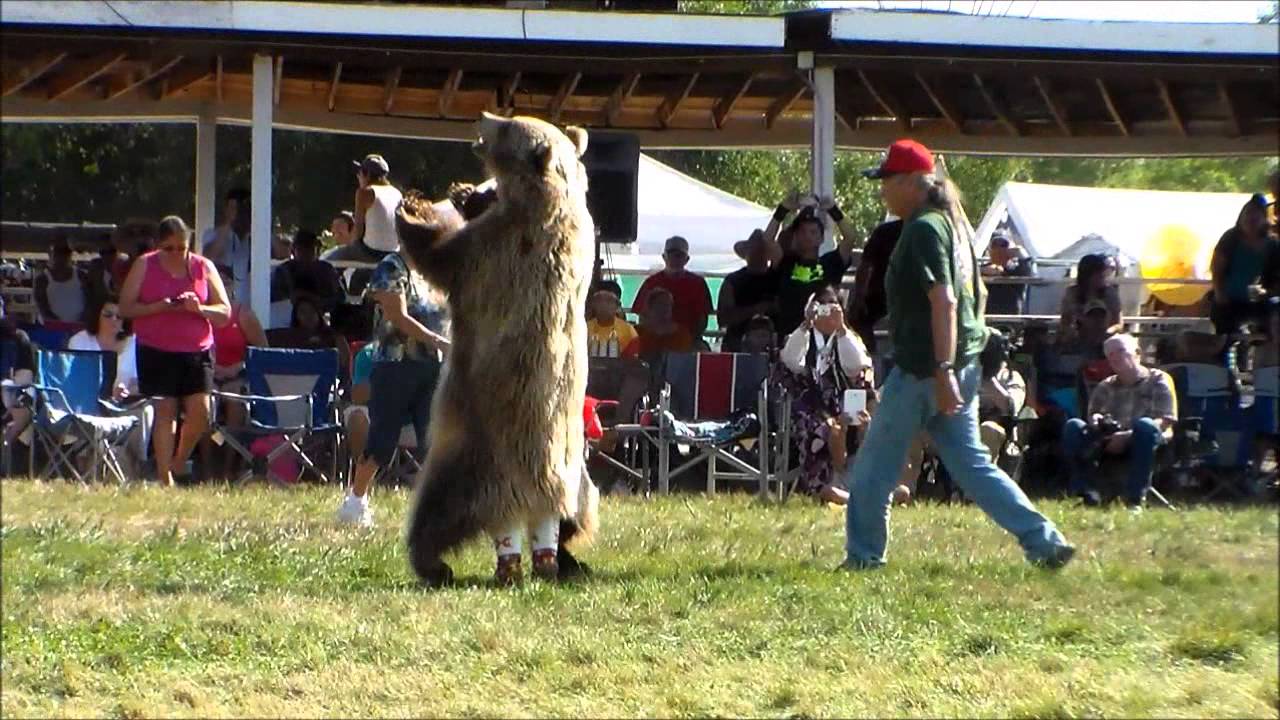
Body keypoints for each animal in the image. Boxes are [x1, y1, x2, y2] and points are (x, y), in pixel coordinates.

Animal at [394, 112, 598, 587]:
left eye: (508, 126)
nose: (483, 117)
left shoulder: (495, 251)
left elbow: (442, 256)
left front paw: (412, 208)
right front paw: (465, 194)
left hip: (478, 453)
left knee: (443, 509)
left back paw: (439, 564)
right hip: (576, 467)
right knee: (566, 515)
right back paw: (562, 558)